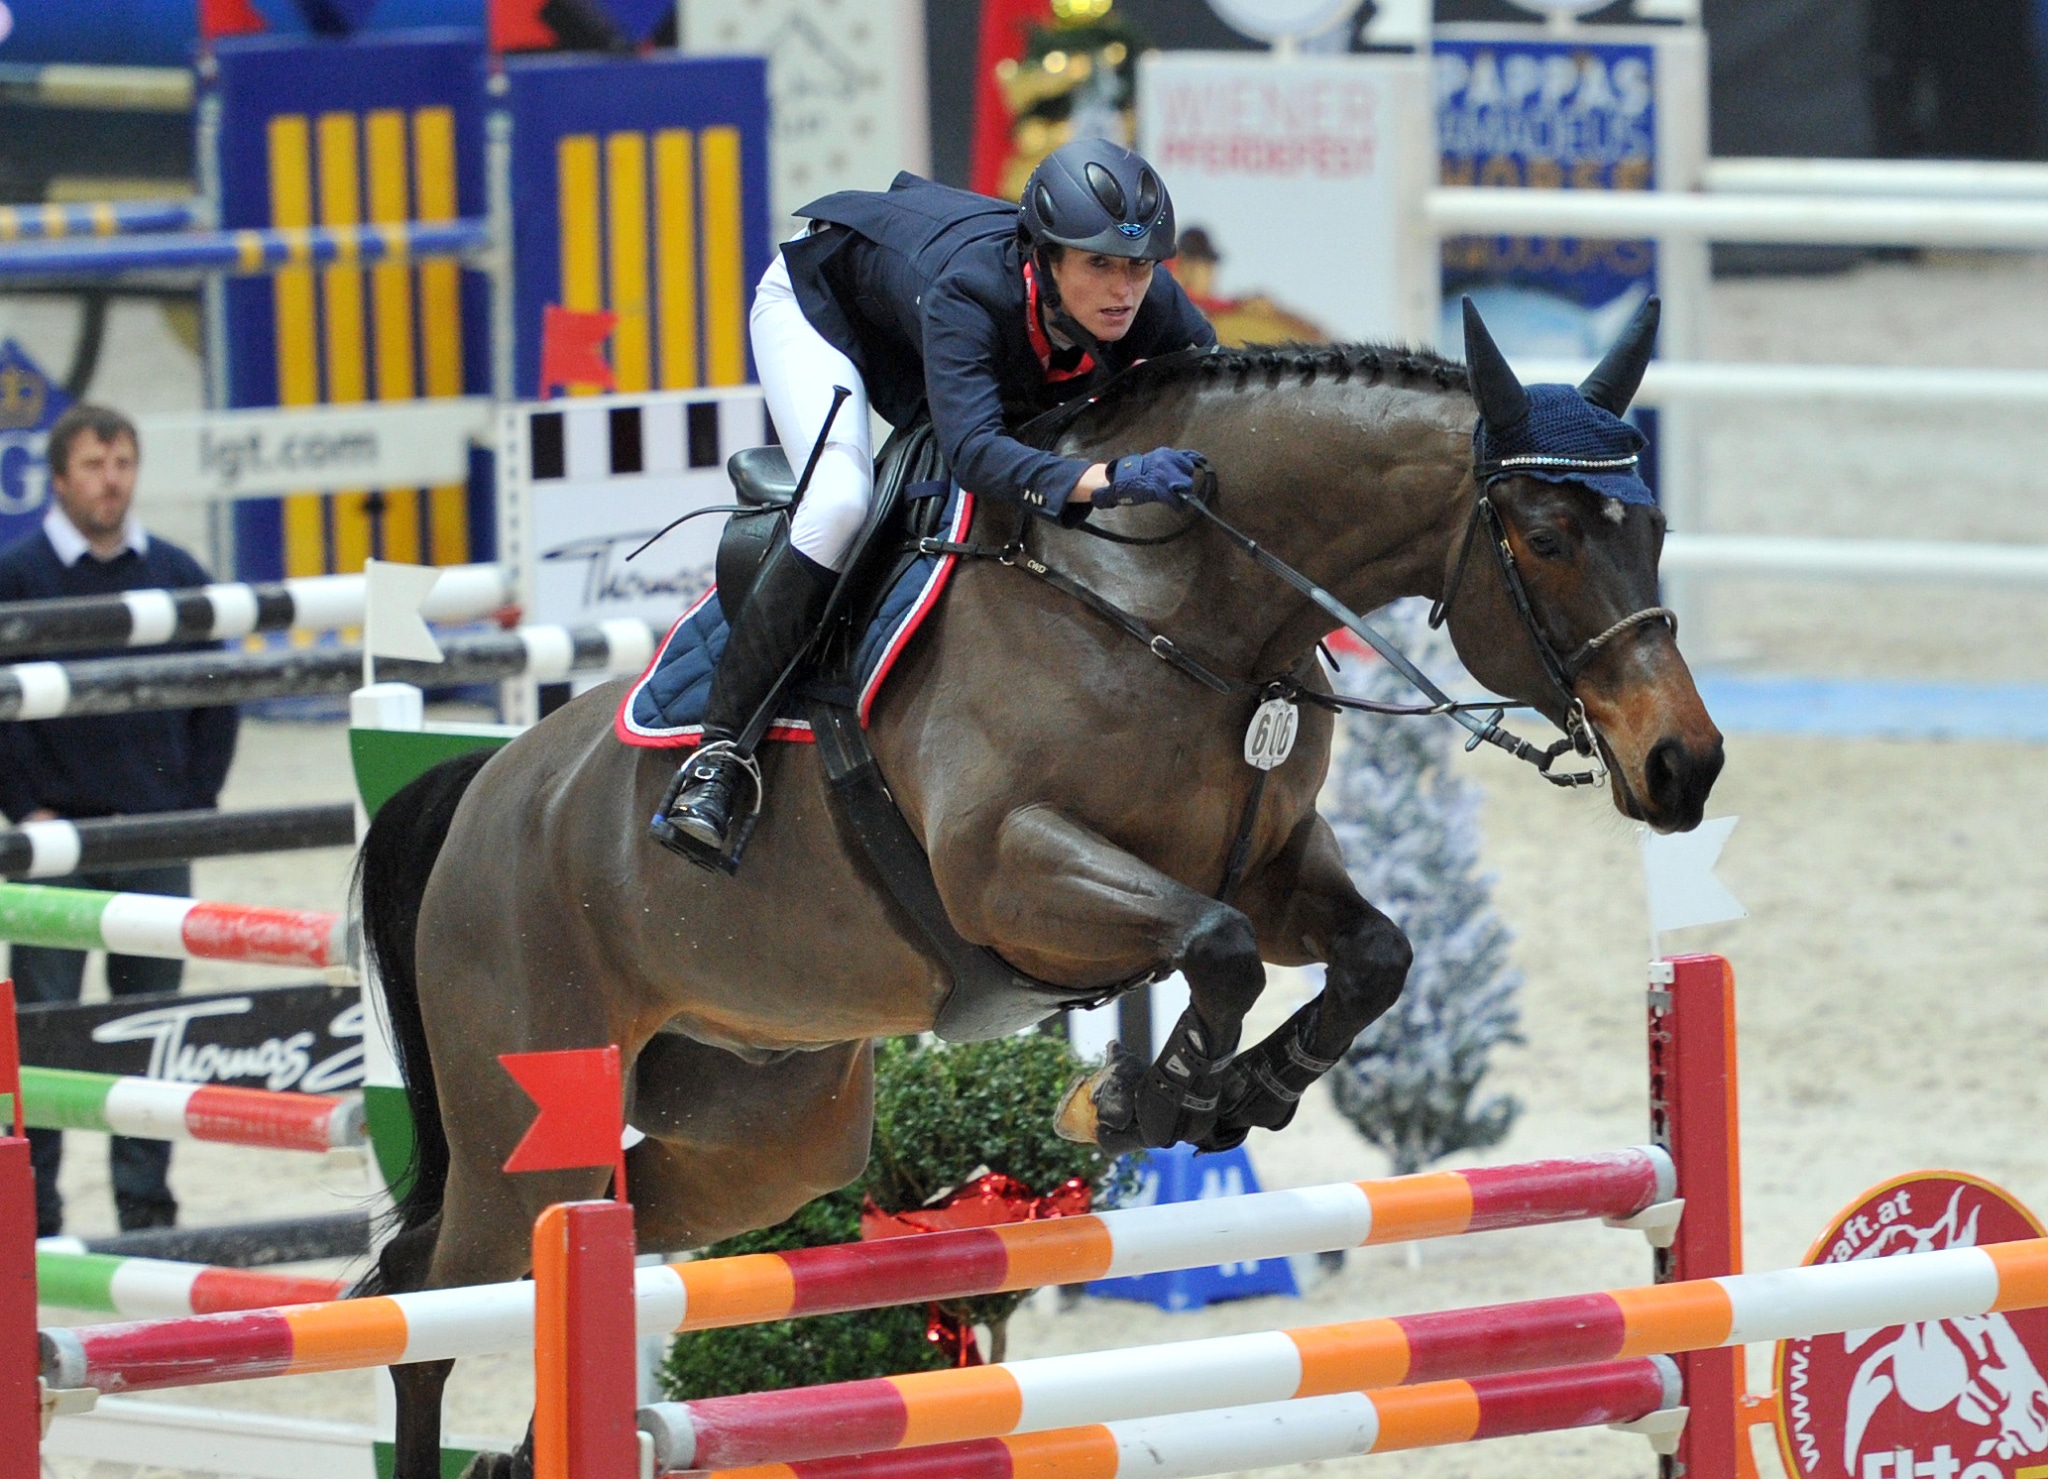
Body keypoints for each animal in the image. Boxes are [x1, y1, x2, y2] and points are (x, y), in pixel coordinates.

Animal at [355, 300, 1724, 1479]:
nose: (1684, 765)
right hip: (525, 1120)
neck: (1180, 608)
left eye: (1653, 529)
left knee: (600, 1232)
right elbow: (1215, 949)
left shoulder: (1275, 862)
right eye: (1545, 538)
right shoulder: (1010, 873)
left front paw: (1244, 1092)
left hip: (767, 1124)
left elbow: (1369, 956)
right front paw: (1137, 1098)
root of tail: (484, 787)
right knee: (423, 1295)